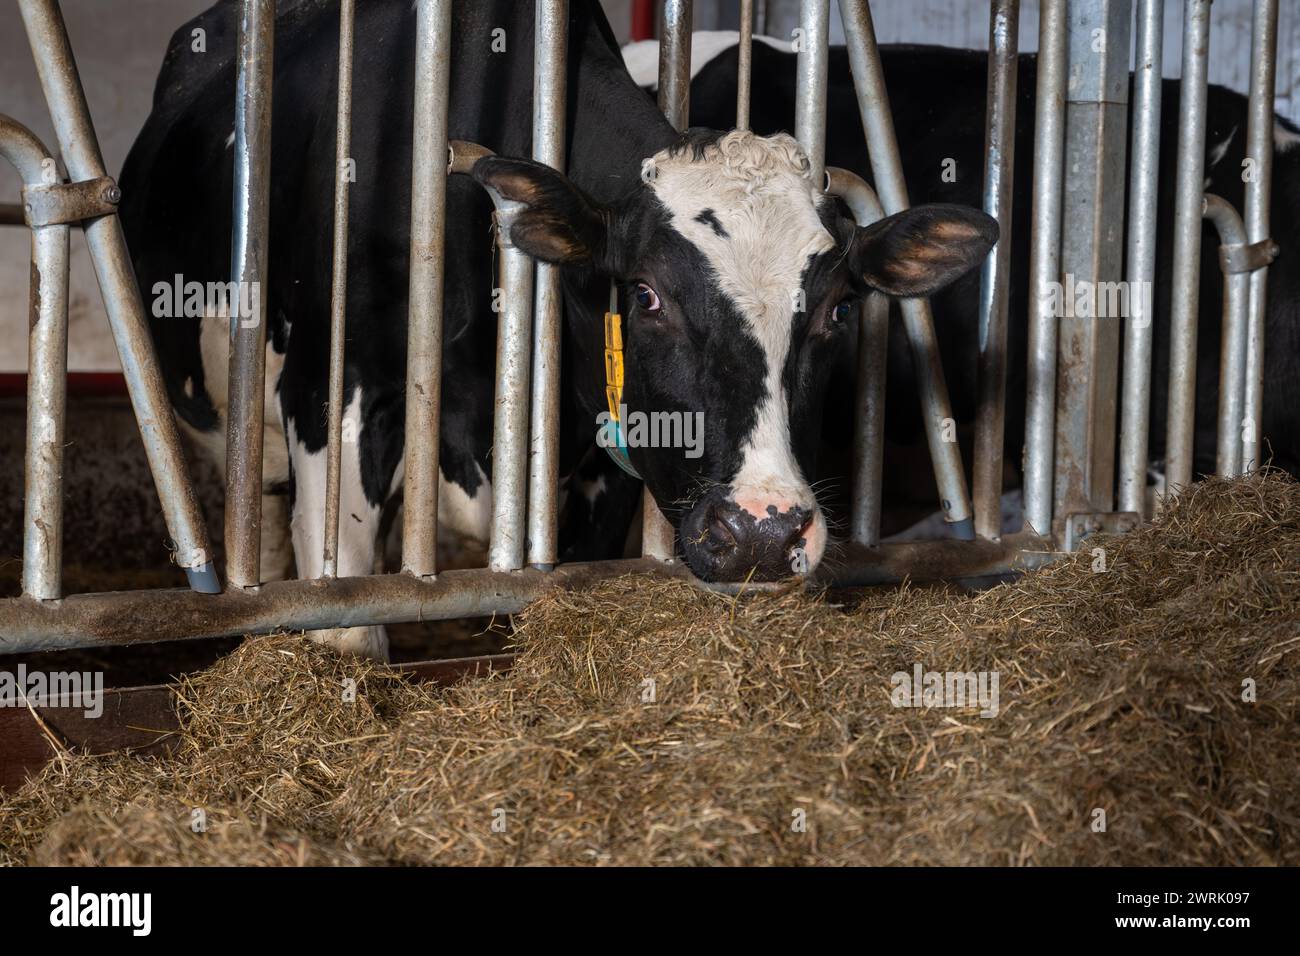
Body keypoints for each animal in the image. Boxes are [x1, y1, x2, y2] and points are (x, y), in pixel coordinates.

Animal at [118, 0, 996, 657]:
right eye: (644, 296)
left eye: (839, 309)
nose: (761, 531)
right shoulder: (332, 401)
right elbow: (351, 625)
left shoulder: (600, 466)